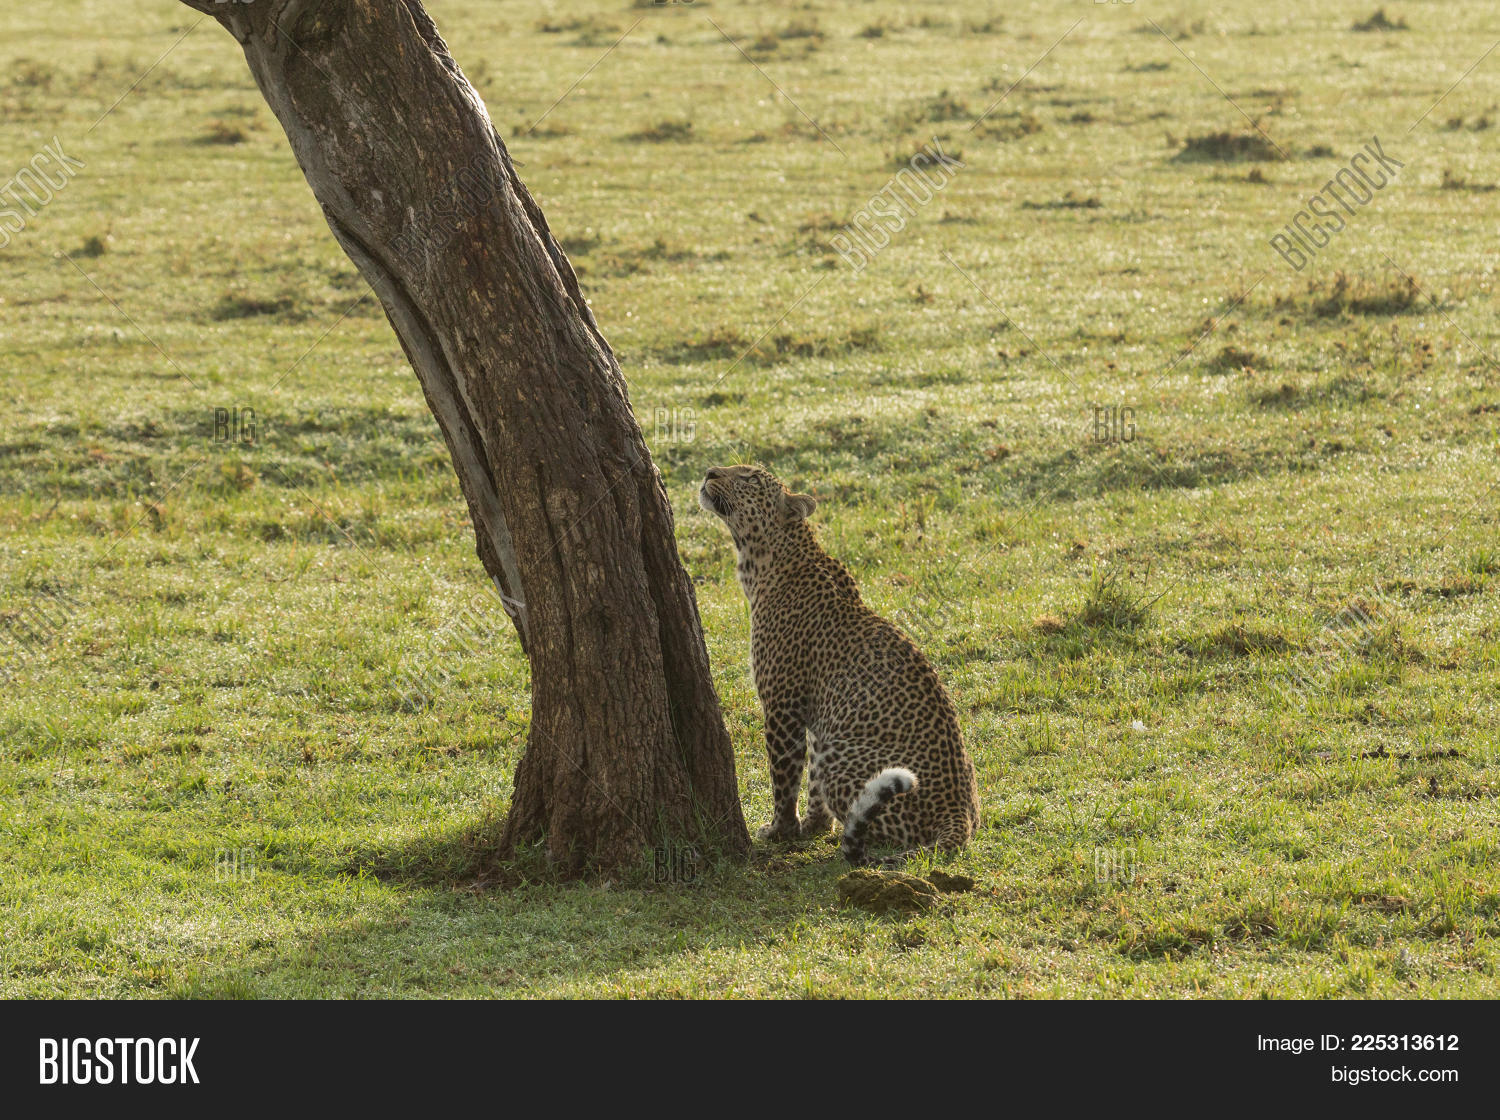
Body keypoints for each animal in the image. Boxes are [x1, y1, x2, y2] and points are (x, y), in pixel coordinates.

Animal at [698, 464, 980, 864]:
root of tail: (959, 813)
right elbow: (811, 781)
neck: (762, 562)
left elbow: (784, 775)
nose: (710, 472)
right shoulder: (817, 717)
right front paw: (814, 825)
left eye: (750, 477)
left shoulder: (782, 704)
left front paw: (781, 831)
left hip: (845, 758)